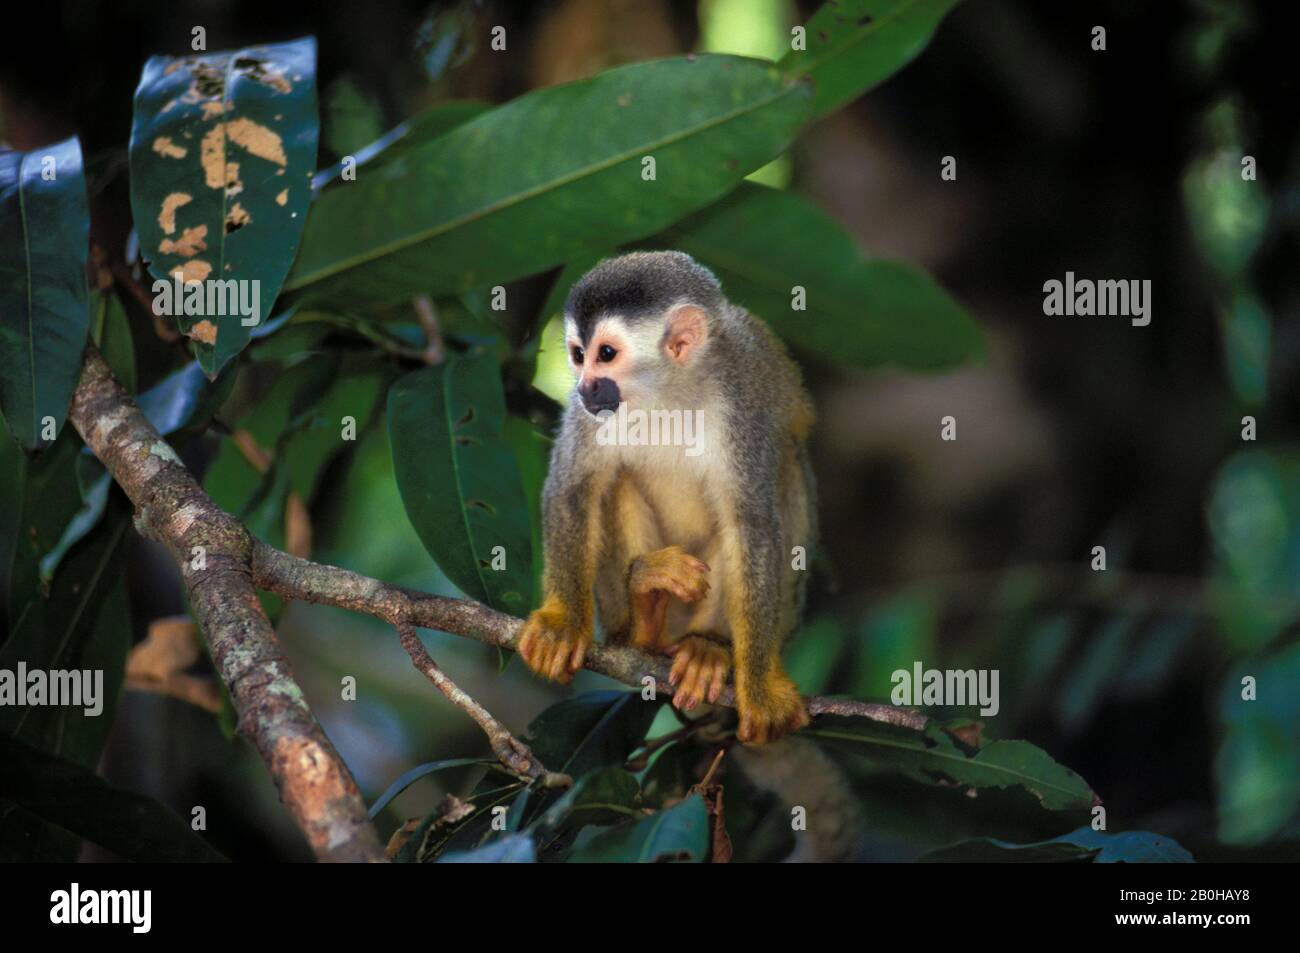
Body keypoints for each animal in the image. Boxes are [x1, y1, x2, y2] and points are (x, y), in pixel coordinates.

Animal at [516, 251, 817, 744]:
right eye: (578, 355)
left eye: (606, 354)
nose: (582, 387)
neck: (666, 396)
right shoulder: (589, 415)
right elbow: (573, 488)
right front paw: (562, 624)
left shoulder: (741, 408)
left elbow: (751, 526)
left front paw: (757, 684)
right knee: (616, 481)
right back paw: (643, 618)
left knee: (786, 468)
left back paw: (708, 648)